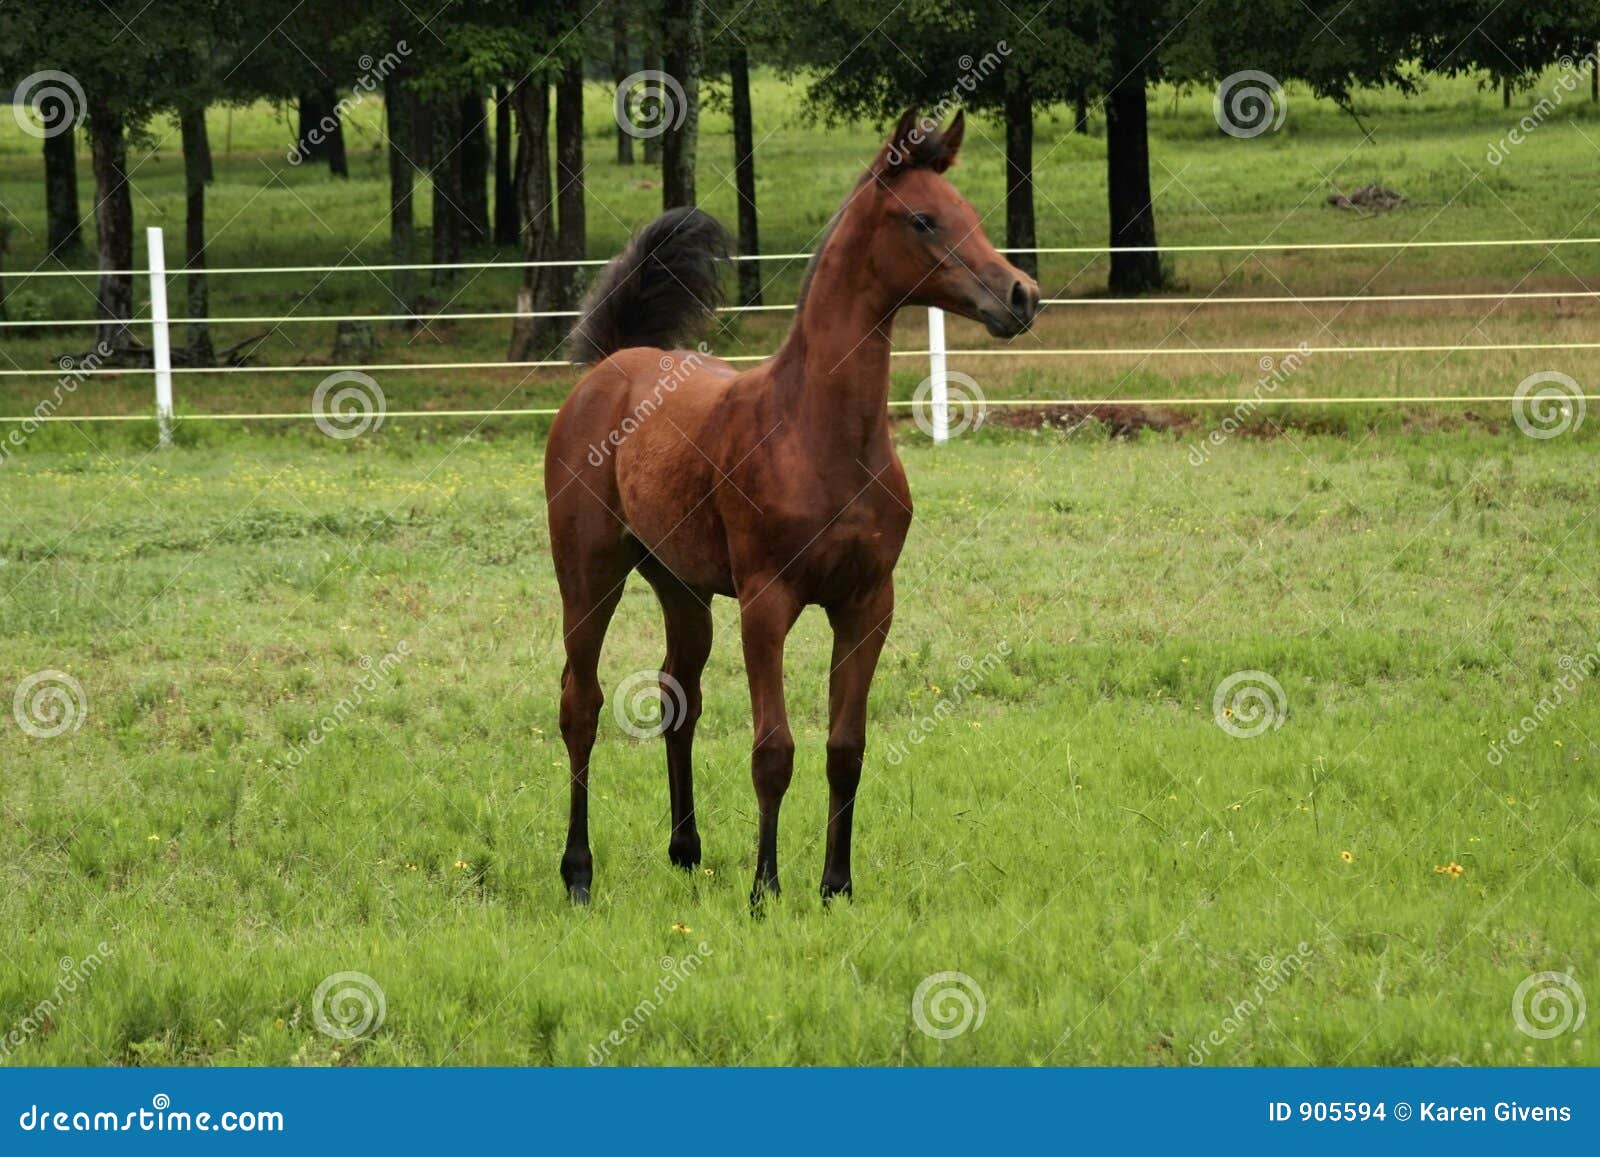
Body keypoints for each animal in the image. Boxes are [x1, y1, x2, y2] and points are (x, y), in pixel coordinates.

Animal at [544, 109, 1039, 907]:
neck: (818, 433)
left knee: (678, 695)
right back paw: (579, 872)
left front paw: (837, 885)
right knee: (580, 704)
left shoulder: (869, 603)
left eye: (971, 212)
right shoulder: (766, 602)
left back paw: (686, 852)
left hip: (680, 586)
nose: (1022, 296)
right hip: (590, 577)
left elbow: (846, 747)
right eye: (924, 219)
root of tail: (610, 367)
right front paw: (765, 889)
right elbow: (773, 749)